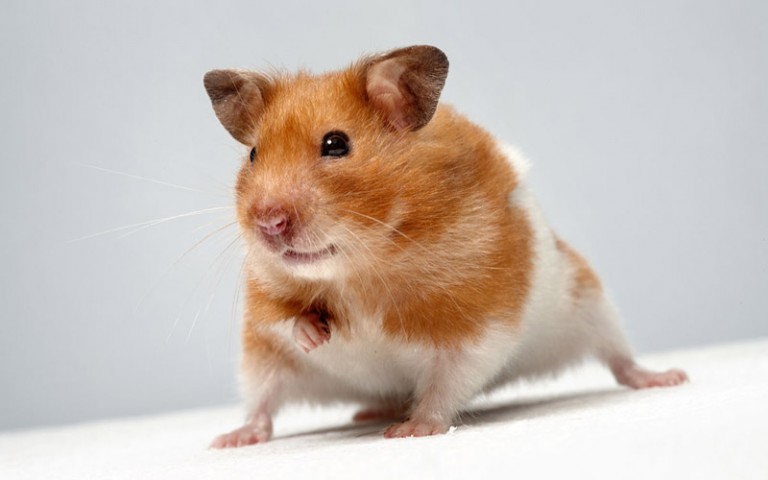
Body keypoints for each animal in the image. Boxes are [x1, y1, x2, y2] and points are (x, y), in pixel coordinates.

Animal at [203, 45, 687, 446]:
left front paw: (411, 432)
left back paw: (667, 377)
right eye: (253, 155)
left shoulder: (474, 329)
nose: (267, 222)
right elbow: (285, 316)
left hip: (590, 303)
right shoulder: (264, 304)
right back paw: (237, 439)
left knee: (619, 358)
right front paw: (316, 332)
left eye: (335, 144)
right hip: (259, 363)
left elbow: (444, 384)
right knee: (262, 403)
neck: (361, 267)